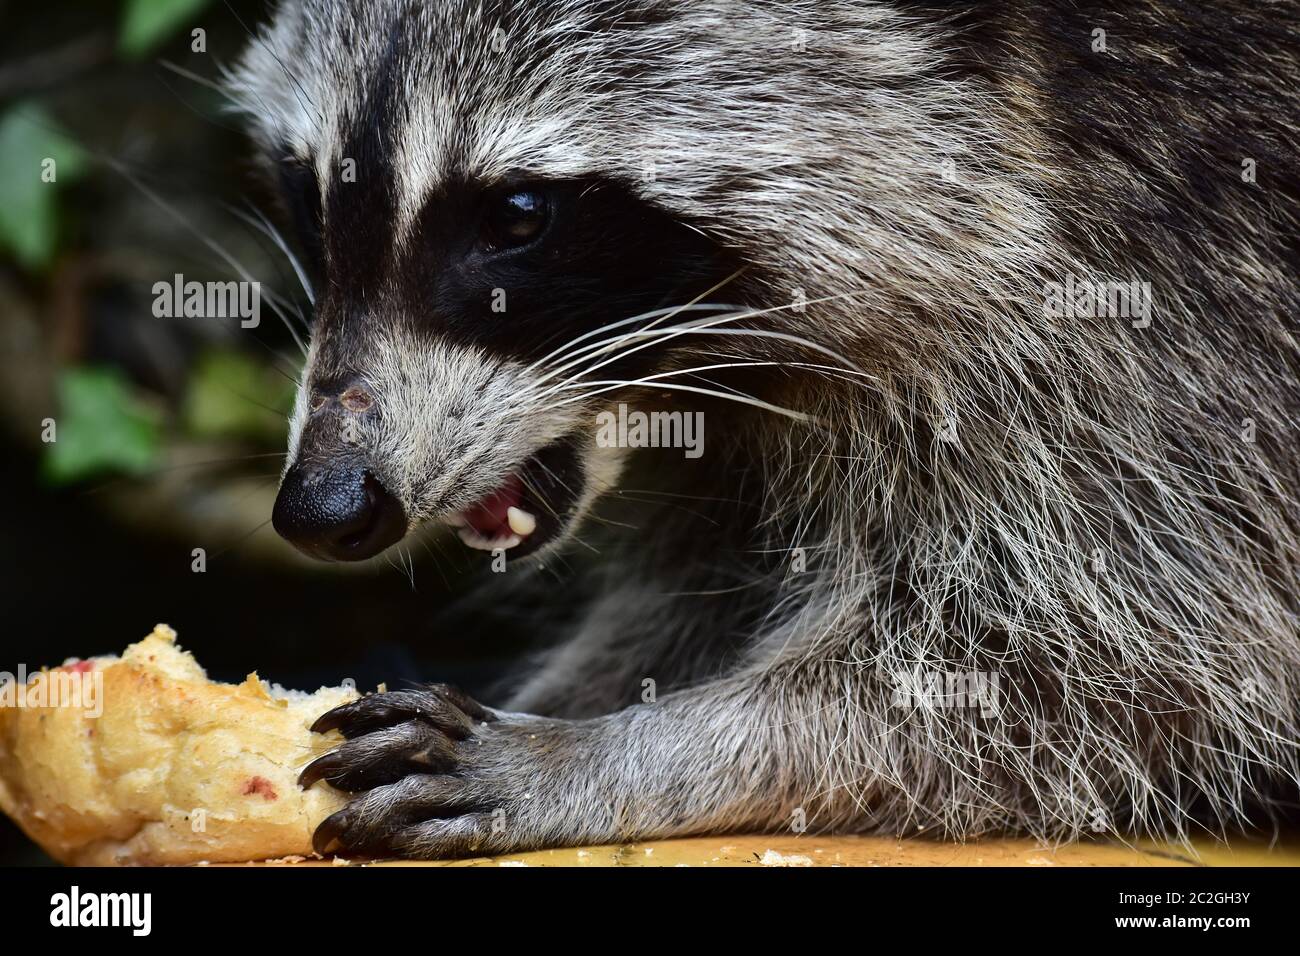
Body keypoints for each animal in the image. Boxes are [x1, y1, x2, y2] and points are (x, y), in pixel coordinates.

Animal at [232, 0, 1300, 857]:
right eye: (311, 196)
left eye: (520, 215)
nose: (324, 506)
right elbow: (699, 580)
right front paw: (590, 701)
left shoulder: (1166, 310)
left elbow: (1102, 664)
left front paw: (607, 754)